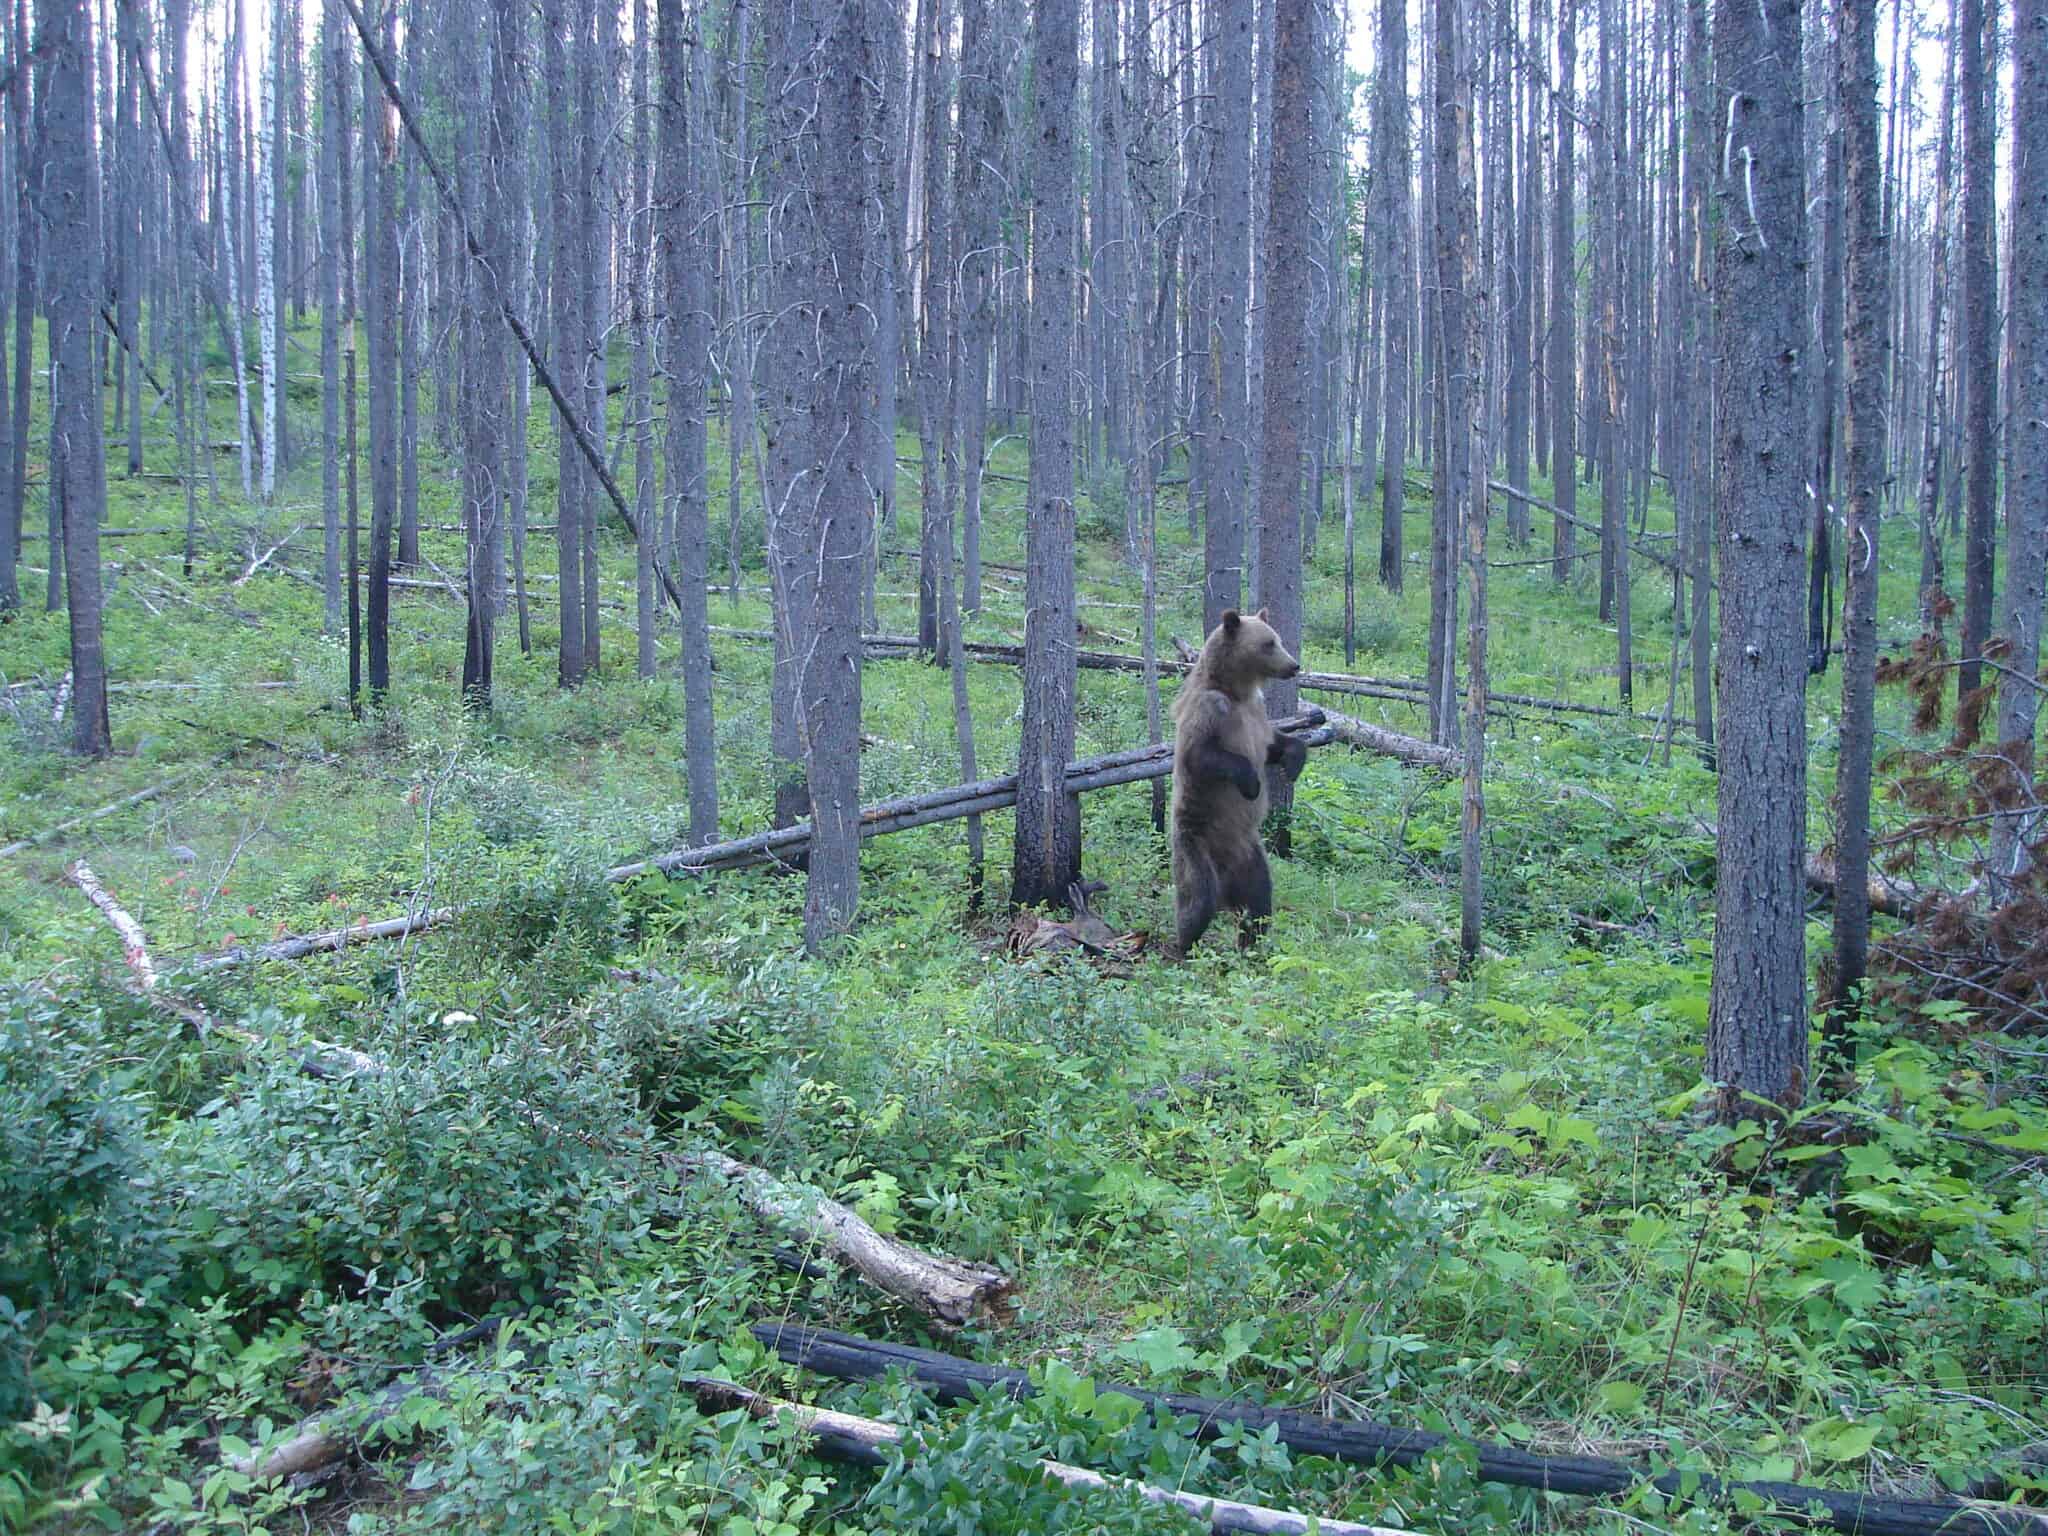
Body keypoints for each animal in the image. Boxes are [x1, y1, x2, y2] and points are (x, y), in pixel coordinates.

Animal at [1170, 608, 1307, 954]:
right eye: (1268, 643)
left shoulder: (1257, 715)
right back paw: (1184, 946)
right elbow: (1202, 756)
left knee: (1260, 904)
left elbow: (1275, 745)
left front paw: (1293, 762)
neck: (1237, 691)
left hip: (1251, 857)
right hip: (1194, 843)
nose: (1294, 665)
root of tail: (1227, 889)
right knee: (1197, 898)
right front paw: (1252, 783)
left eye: (1277, 639)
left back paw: (1250, 947)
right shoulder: (1209, 711)